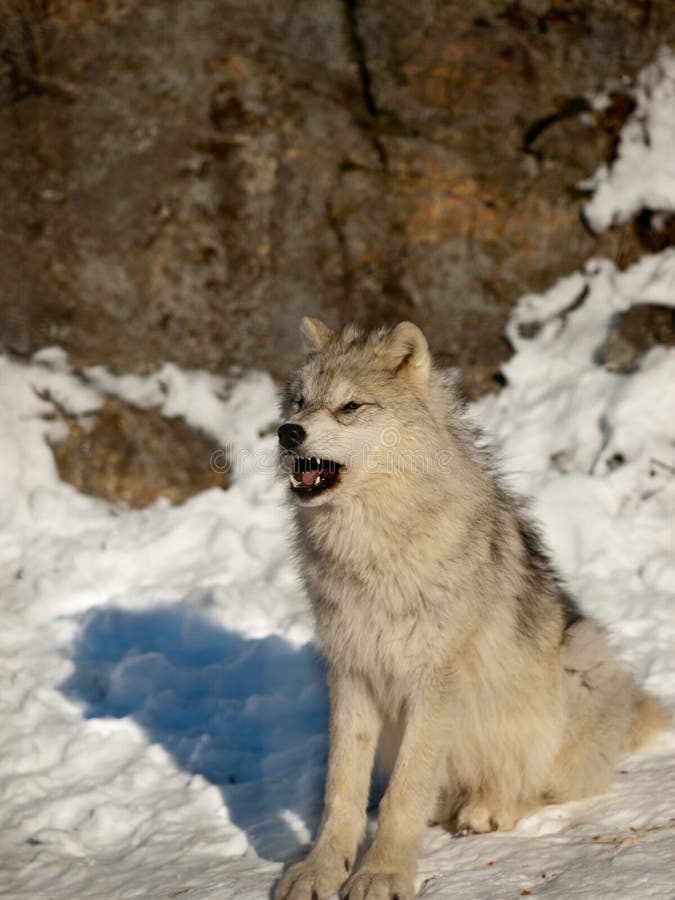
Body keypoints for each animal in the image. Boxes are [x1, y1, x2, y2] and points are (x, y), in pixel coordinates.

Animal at [274, 318, 669, 900]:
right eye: (298, 403)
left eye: (349, 406)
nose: (287, 434)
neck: (373, 549)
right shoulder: (351, 674)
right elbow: (340, 790)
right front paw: (321, 871)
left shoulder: (434, 679)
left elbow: (405, 792)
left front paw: (382, 874)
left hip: (580, 656)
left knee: (545, 786)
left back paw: (490, 806)